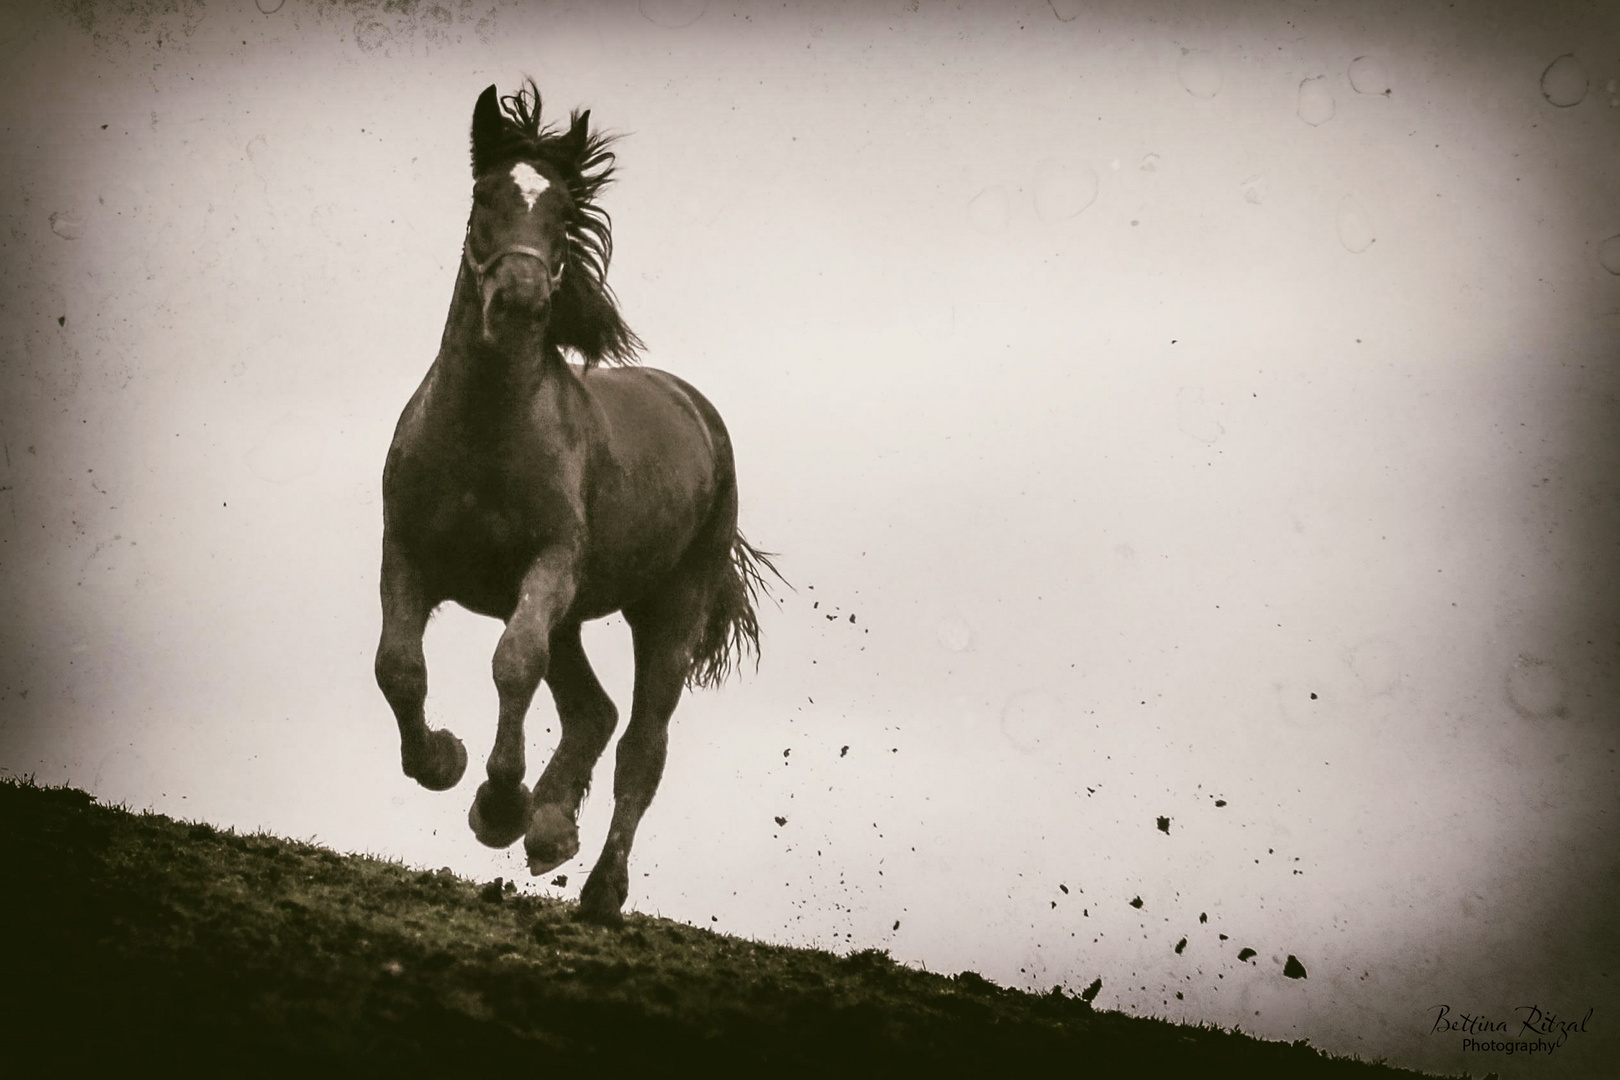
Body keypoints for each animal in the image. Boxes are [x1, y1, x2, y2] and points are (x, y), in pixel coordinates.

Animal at [372, 82, 777, 932]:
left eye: (561, 211)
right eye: (485, 198)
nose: (521, 300)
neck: (485, 430)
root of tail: (697, 410)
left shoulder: (549, 567)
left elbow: (512, 664)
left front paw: (498, 803)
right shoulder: (406, 554)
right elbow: (399, 667)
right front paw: (444, 763)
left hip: (669, 609)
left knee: (641, 747)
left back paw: (597, 888)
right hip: (575, 615)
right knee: (594, 712)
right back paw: (551, 830)